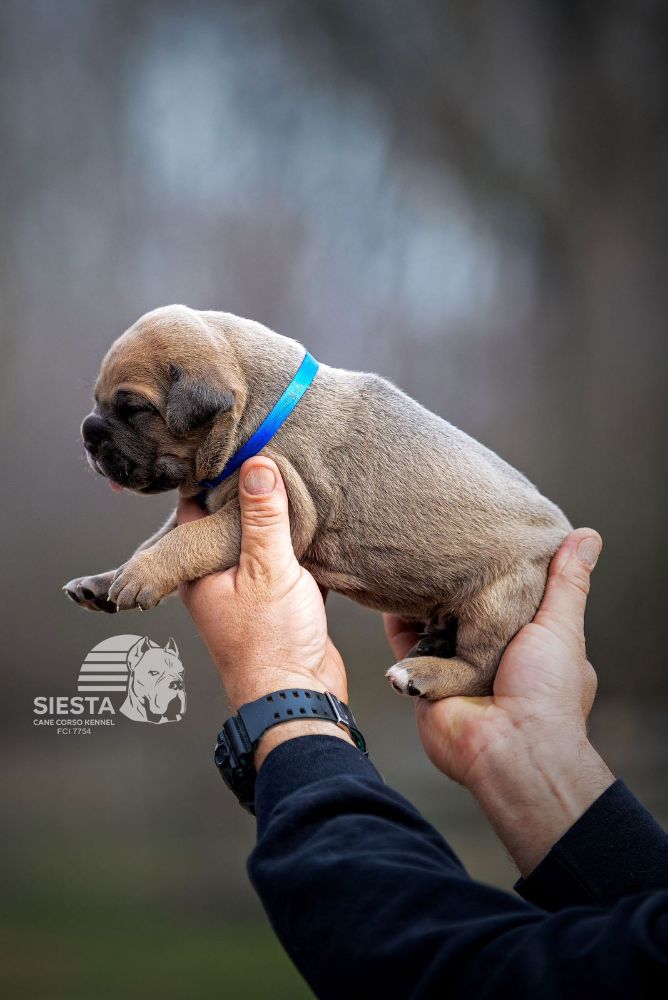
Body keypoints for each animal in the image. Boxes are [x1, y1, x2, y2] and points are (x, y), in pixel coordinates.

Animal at [65, 300, 572, 700]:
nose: (86, 433)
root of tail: (561, 533)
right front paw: (105, 580)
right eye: (98, 403)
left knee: (483, 669)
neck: (259, 413)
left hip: (498, 599)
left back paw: (424, 672)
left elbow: (189, 539)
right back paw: (433, 644)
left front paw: (142, 575)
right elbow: (156, 539)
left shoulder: (277, 505)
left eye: (134, 409)